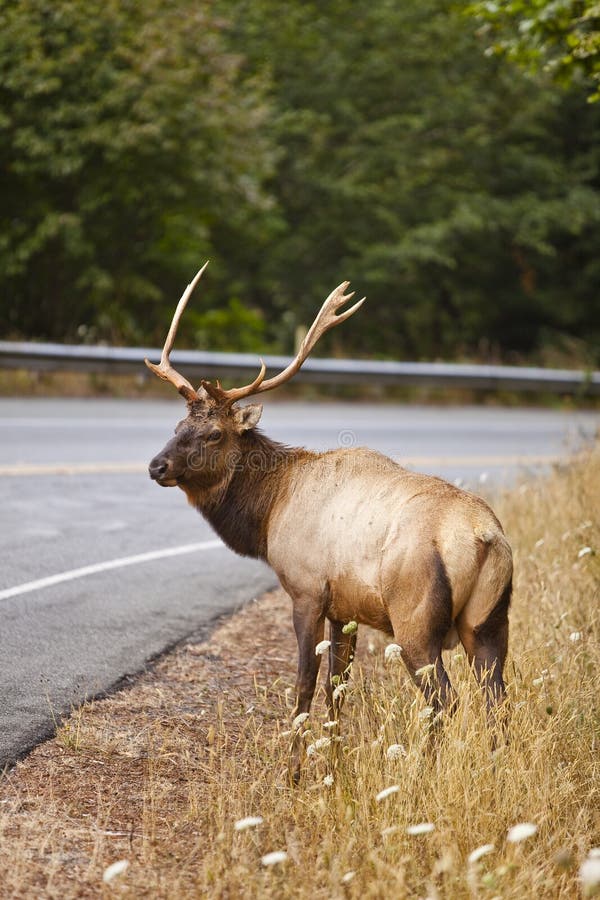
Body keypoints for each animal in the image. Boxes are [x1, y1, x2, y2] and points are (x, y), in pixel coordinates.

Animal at [146, 263, 513, 782]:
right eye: (178, 427)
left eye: (214, 433)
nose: (156, 466)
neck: (270, 511)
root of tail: (486, 537)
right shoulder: (346, 609)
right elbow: (336, 689)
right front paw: (333, 766)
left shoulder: (306, 590)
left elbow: (303, 685)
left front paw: (293, 773)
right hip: (489, 622)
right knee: (496, 699)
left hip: (416, 618)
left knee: (445, 699)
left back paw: (424, 773)